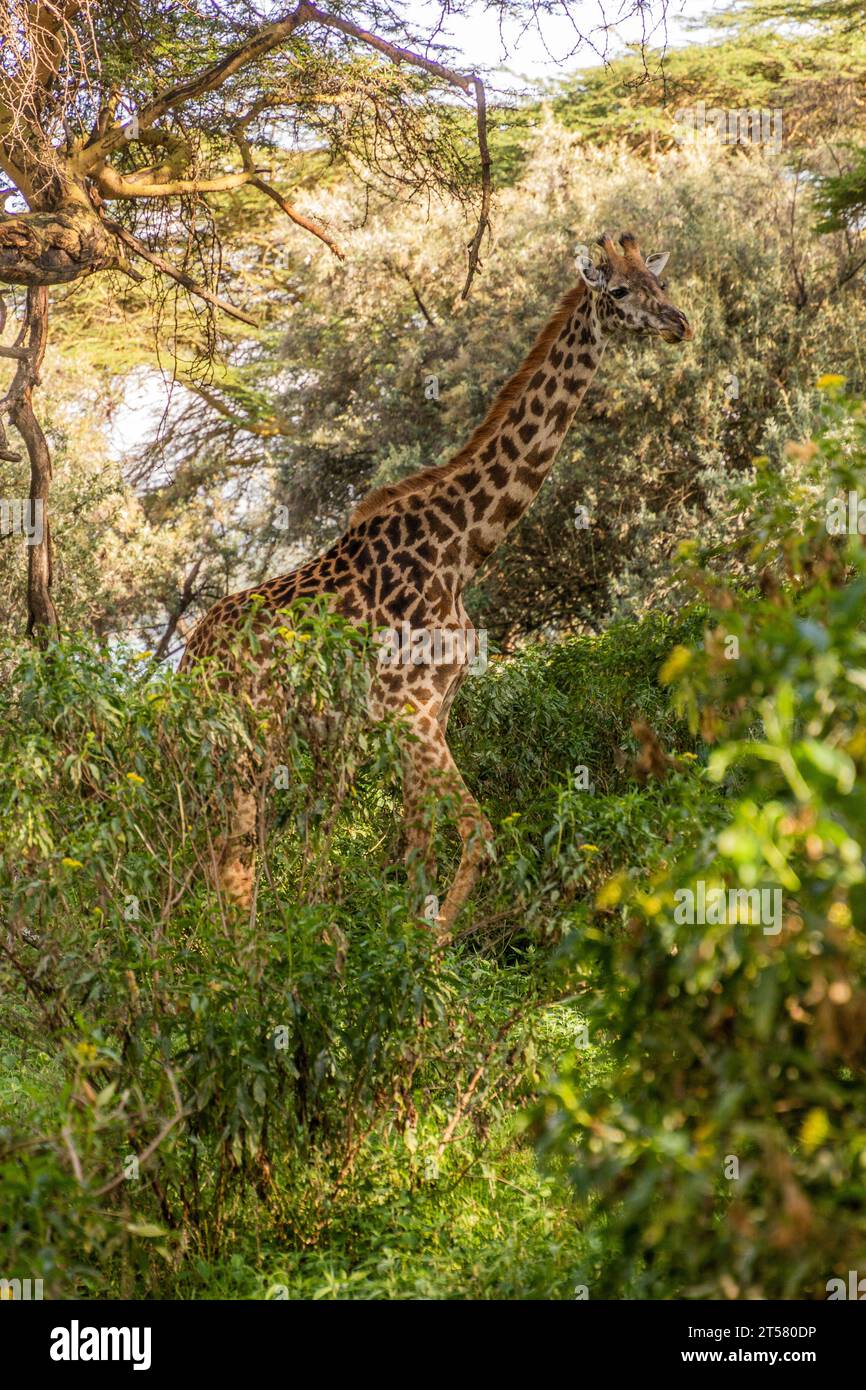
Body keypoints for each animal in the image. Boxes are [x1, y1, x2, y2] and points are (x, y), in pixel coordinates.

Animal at [182, 231, 692, 931]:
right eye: (617, 291)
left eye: (659, 281)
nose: (679, 323)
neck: (464, 549)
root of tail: (187, 657)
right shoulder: (412, 713)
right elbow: (477, 834)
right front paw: (433, 946)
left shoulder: (433, 712)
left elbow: (414, 842)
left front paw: (403, 937)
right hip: (241, 739)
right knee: (233, 859)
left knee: (229, 853)